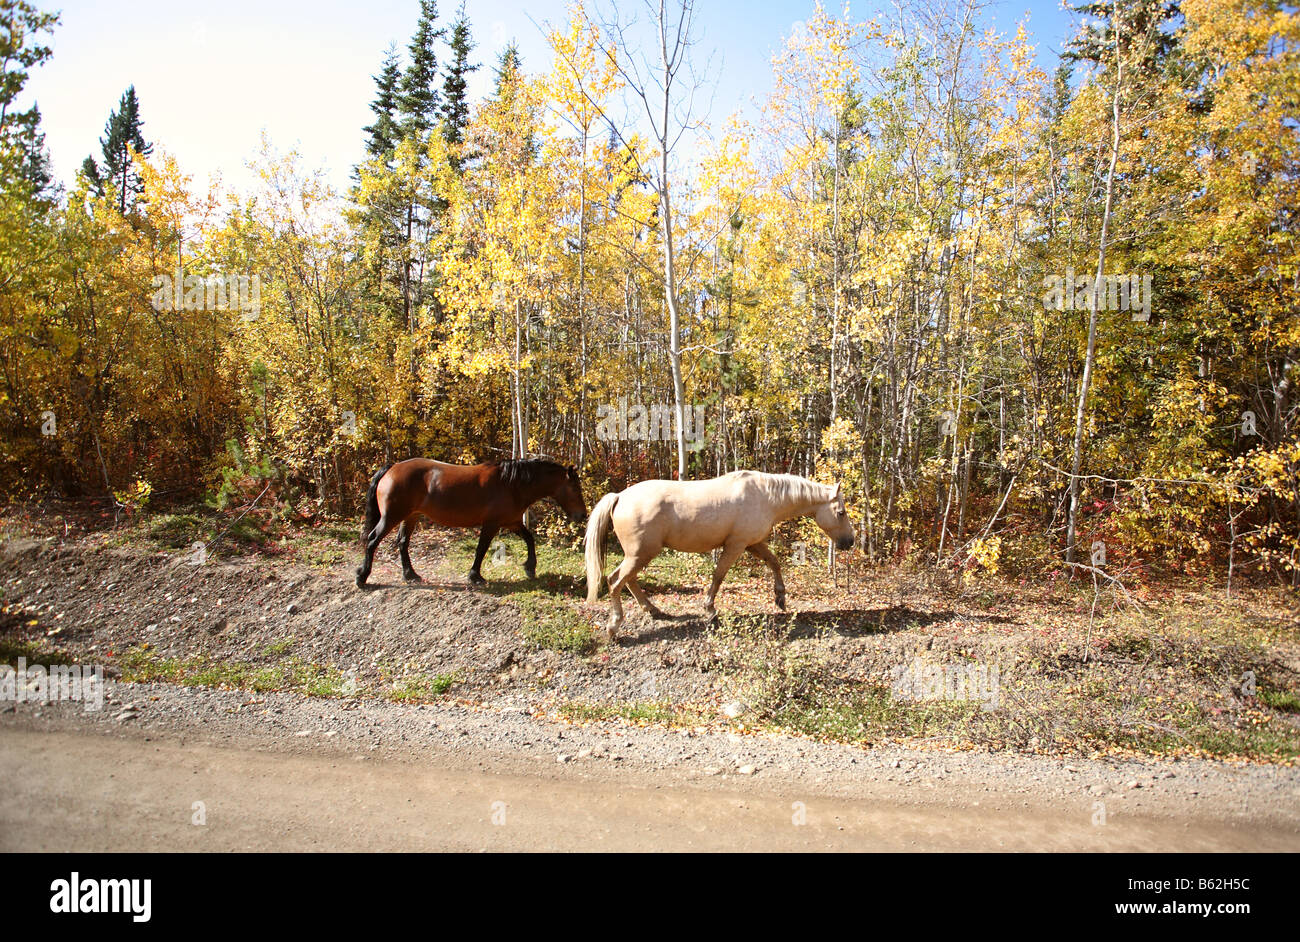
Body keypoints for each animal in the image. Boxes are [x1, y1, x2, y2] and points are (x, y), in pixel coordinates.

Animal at [355, 457, 588, 588]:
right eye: (575, 488)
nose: (582, 515)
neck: (512, 484)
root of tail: (392, 468)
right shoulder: (491, 524)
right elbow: (481, 549)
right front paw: (475, 576)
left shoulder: (512, 522)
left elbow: (529, 539)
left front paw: (530, 567)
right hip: (391, 517)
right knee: (373, 540)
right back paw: (363, 577)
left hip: (410, 516)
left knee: (403, 542)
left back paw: (410, 575)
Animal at [583, 470, 856, 638]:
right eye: (841, 512)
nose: (849, 541)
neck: (766, 496)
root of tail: (619, 496)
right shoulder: (736, 545)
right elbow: (719, 575)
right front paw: (710, 610)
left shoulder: (752, 543)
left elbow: (774, 563)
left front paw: (780, 598)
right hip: (640, 555)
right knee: (615, 581)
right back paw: (614, 625)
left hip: (639, 555)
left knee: (627, 580)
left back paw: (653, 610)